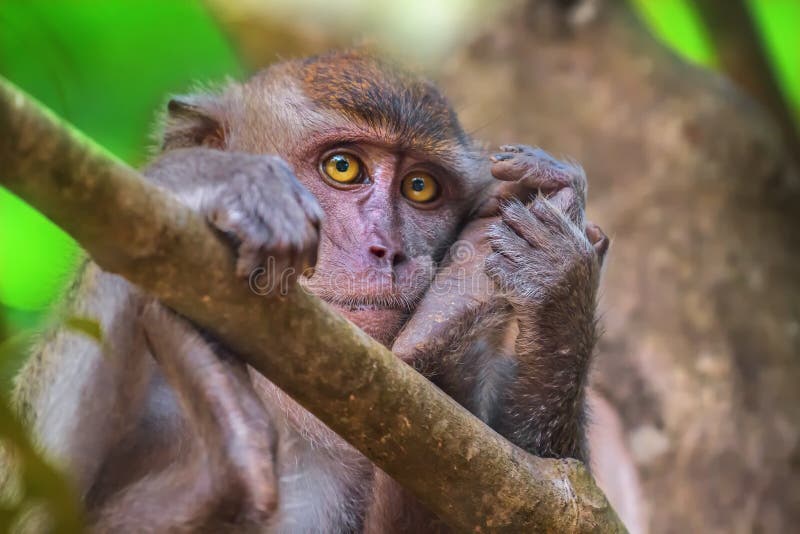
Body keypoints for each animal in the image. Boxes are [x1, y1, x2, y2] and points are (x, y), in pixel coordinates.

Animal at [8, 50, 607, 532]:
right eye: (343, 167)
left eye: (420, 187)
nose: (388, 249)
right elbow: (31, 504)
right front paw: (205, 175)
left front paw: (553, 281)